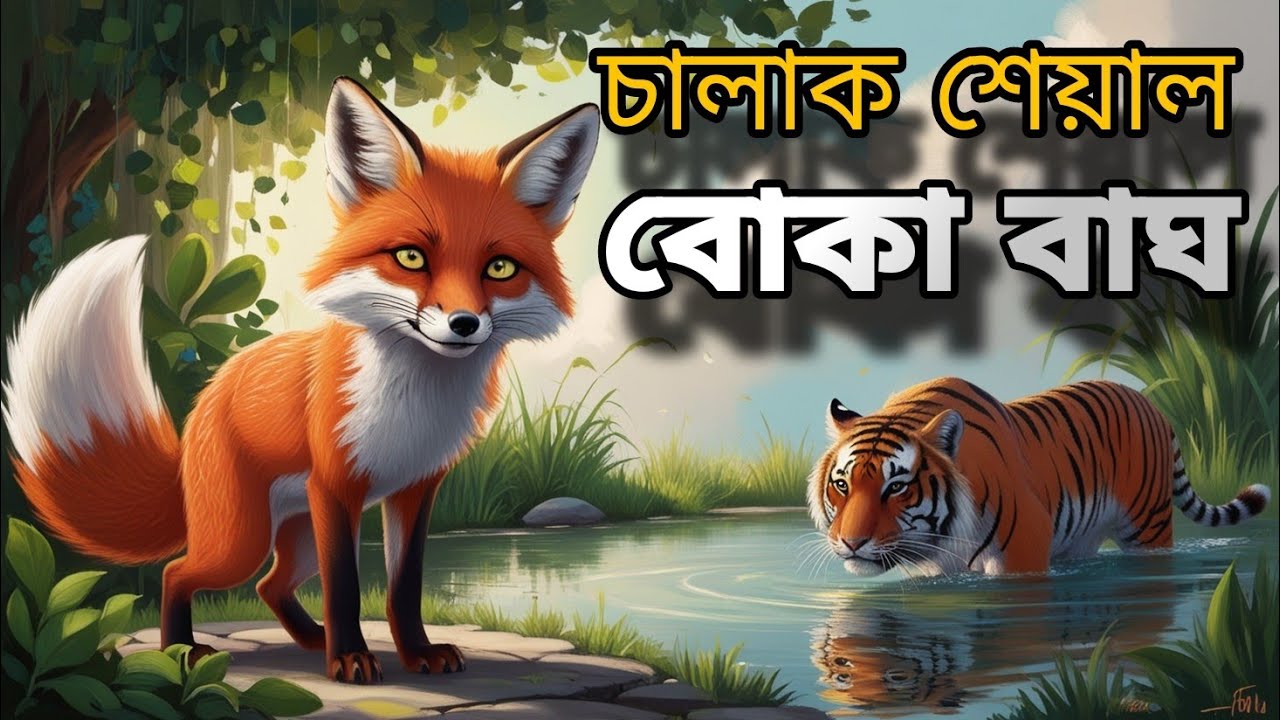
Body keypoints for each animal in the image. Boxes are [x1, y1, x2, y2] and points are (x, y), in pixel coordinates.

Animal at [2, 77, 600, 684]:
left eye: (499, 269)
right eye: (411, 257)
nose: (464, 323)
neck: (413, 404)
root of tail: (202, 406)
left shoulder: (413, 491)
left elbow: (403, 589)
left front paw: (415, 652)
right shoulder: (334, 487)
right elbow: (345, 588)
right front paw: (351, 658)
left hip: (297, 538)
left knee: (269, 585)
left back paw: (311, 640)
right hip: (243, 540)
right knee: (178, 573)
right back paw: (185, 650)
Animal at [808, 376, 1271, 575]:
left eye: (897, 487)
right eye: (842, 485)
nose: (851, 543)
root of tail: (1151, 404)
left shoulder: (1024, 546)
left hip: (1149, 526)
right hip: (1080, 537)